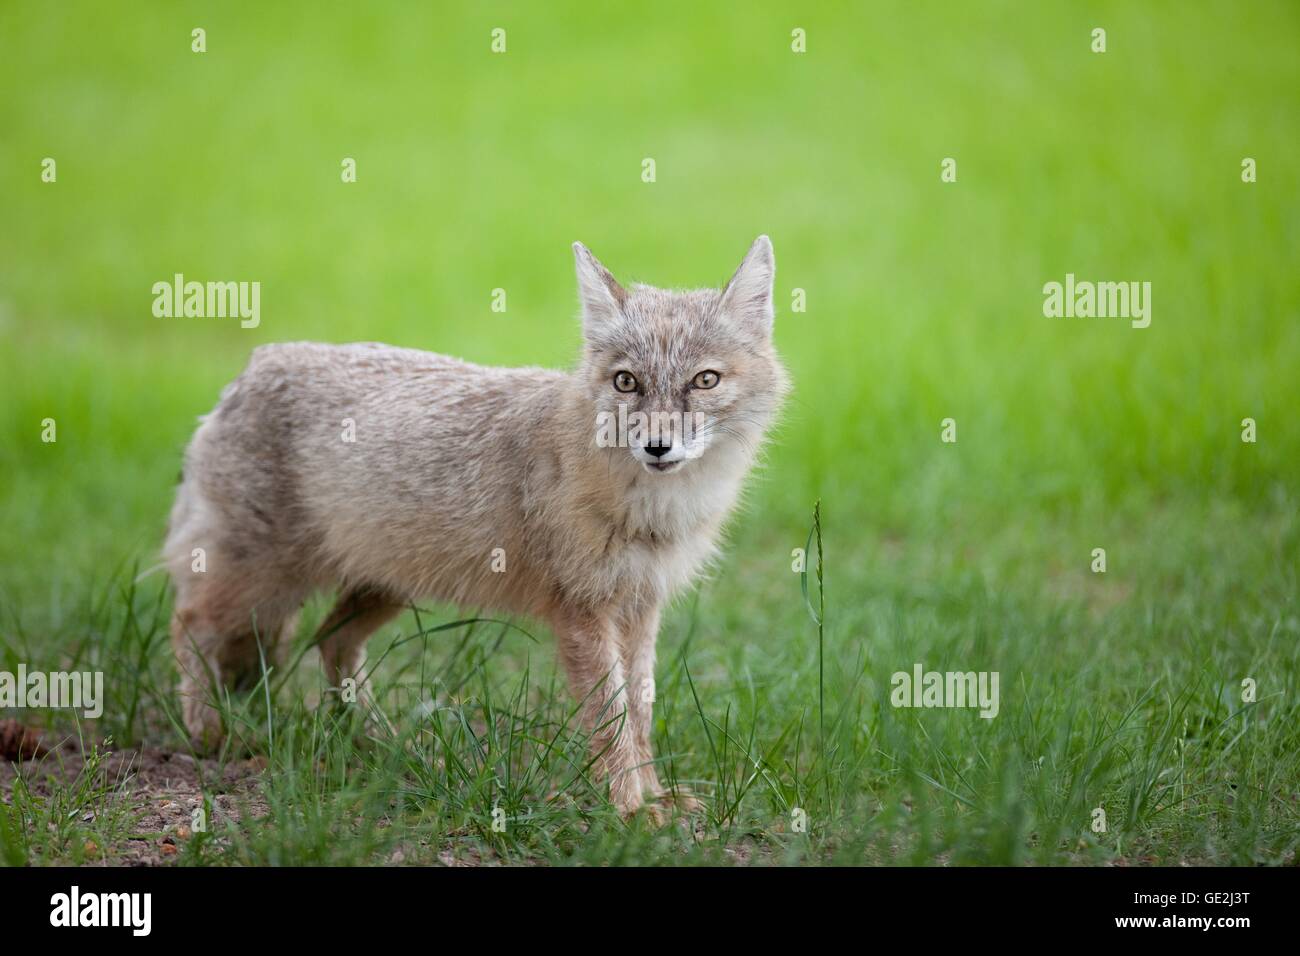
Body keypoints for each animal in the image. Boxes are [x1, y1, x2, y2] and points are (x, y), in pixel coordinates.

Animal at [164, 236, 788, 818]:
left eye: (704, 380)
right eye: (627, 382)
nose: (657, 446)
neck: (654, 510)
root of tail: (252, 366)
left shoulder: (639, 604)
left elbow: (640, 709)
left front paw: (654, 797)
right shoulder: (583, 611)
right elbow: (611, 719)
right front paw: (629, 810)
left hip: (380, 588)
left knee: (331, 640)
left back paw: (376, 743)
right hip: (263, 585)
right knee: (189, 622)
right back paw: (209, 731)